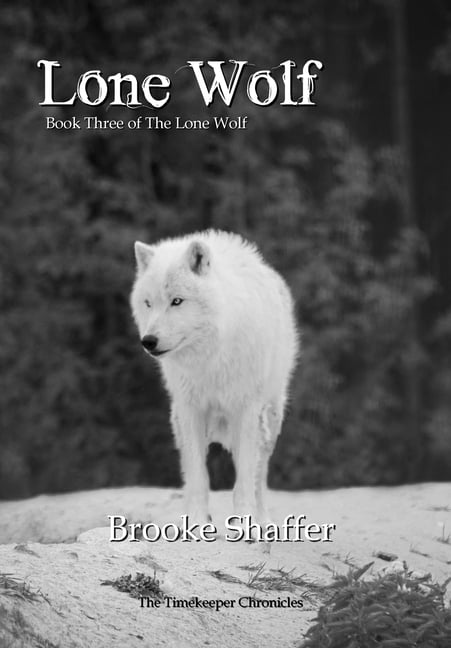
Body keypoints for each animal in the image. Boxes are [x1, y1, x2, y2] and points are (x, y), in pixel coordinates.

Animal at [130, 230, 298, 529]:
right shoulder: (191, 410)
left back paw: (262, 520)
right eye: (148, 303)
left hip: (270, 420)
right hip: (178, 422)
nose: (148, 341)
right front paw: (197, 524)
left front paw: (244, 525)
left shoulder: (246, 409)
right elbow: (199, 478)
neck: (209, 357)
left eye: (177, 301)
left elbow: (244, 481)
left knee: (259, 478)